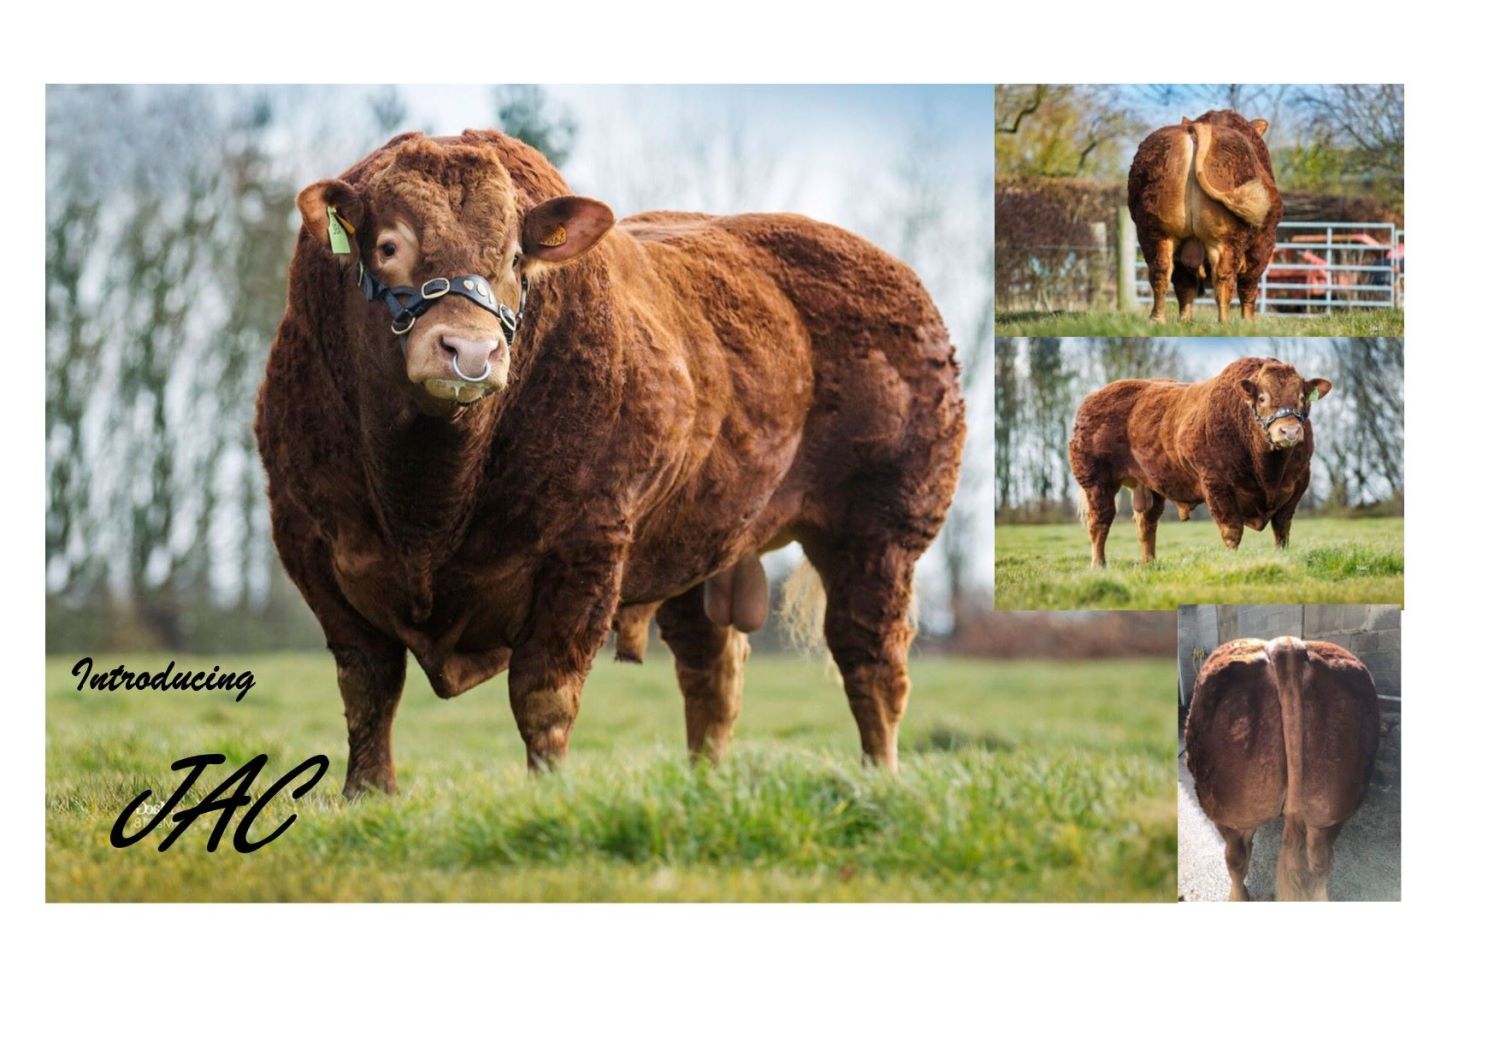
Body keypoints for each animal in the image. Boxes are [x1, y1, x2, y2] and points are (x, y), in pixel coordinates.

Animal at [254, 131, 965, 795]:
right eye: (387, 246)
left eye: (516, 257)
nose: (471, 352)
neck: (426, 500)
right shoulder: (309, 540)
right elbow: (368, 689)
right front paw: (367, 796)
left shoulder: (586, 546)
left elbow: (543, 694)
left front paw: (548, 797)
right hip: (696, 544)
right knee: (712, 673)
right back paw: (704, 784)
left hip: (881, 533)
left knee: (871, 664)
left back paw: (881, 779)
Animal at [1068, 356, 1331, 568]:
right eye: (1263, 398)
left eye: (1302, 398)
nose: (1289, 431)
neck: (1268, 471)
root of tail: (1093, 397)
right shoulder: (1216, 485)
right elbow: (1232, 531)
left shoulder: (1298, 484)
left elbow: (1282, 530)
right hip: (1096, 482)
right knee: (1099, 522)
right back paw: (1098, 565)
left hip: (1151, 487)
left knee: (1146, 523)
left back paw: (1149, 563)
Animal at [1128, 110, 1283, 324]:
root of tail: (1196, 128)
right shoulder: (1263, 245)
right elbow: (1249, 286)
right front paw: (1248, 322)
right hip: (1227, 238)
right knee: (1224, 278)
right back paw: (1224, 322)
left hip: (1154, 231)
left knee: (1164, 272)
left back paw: (1161, 319)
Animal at [1184, 637, 1380, 900]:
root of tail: (1286, 645)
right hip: (1330, 811)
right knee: (1320, 862)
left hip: (1228, 813)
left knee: (1236, 860)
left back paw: (1237, 896)